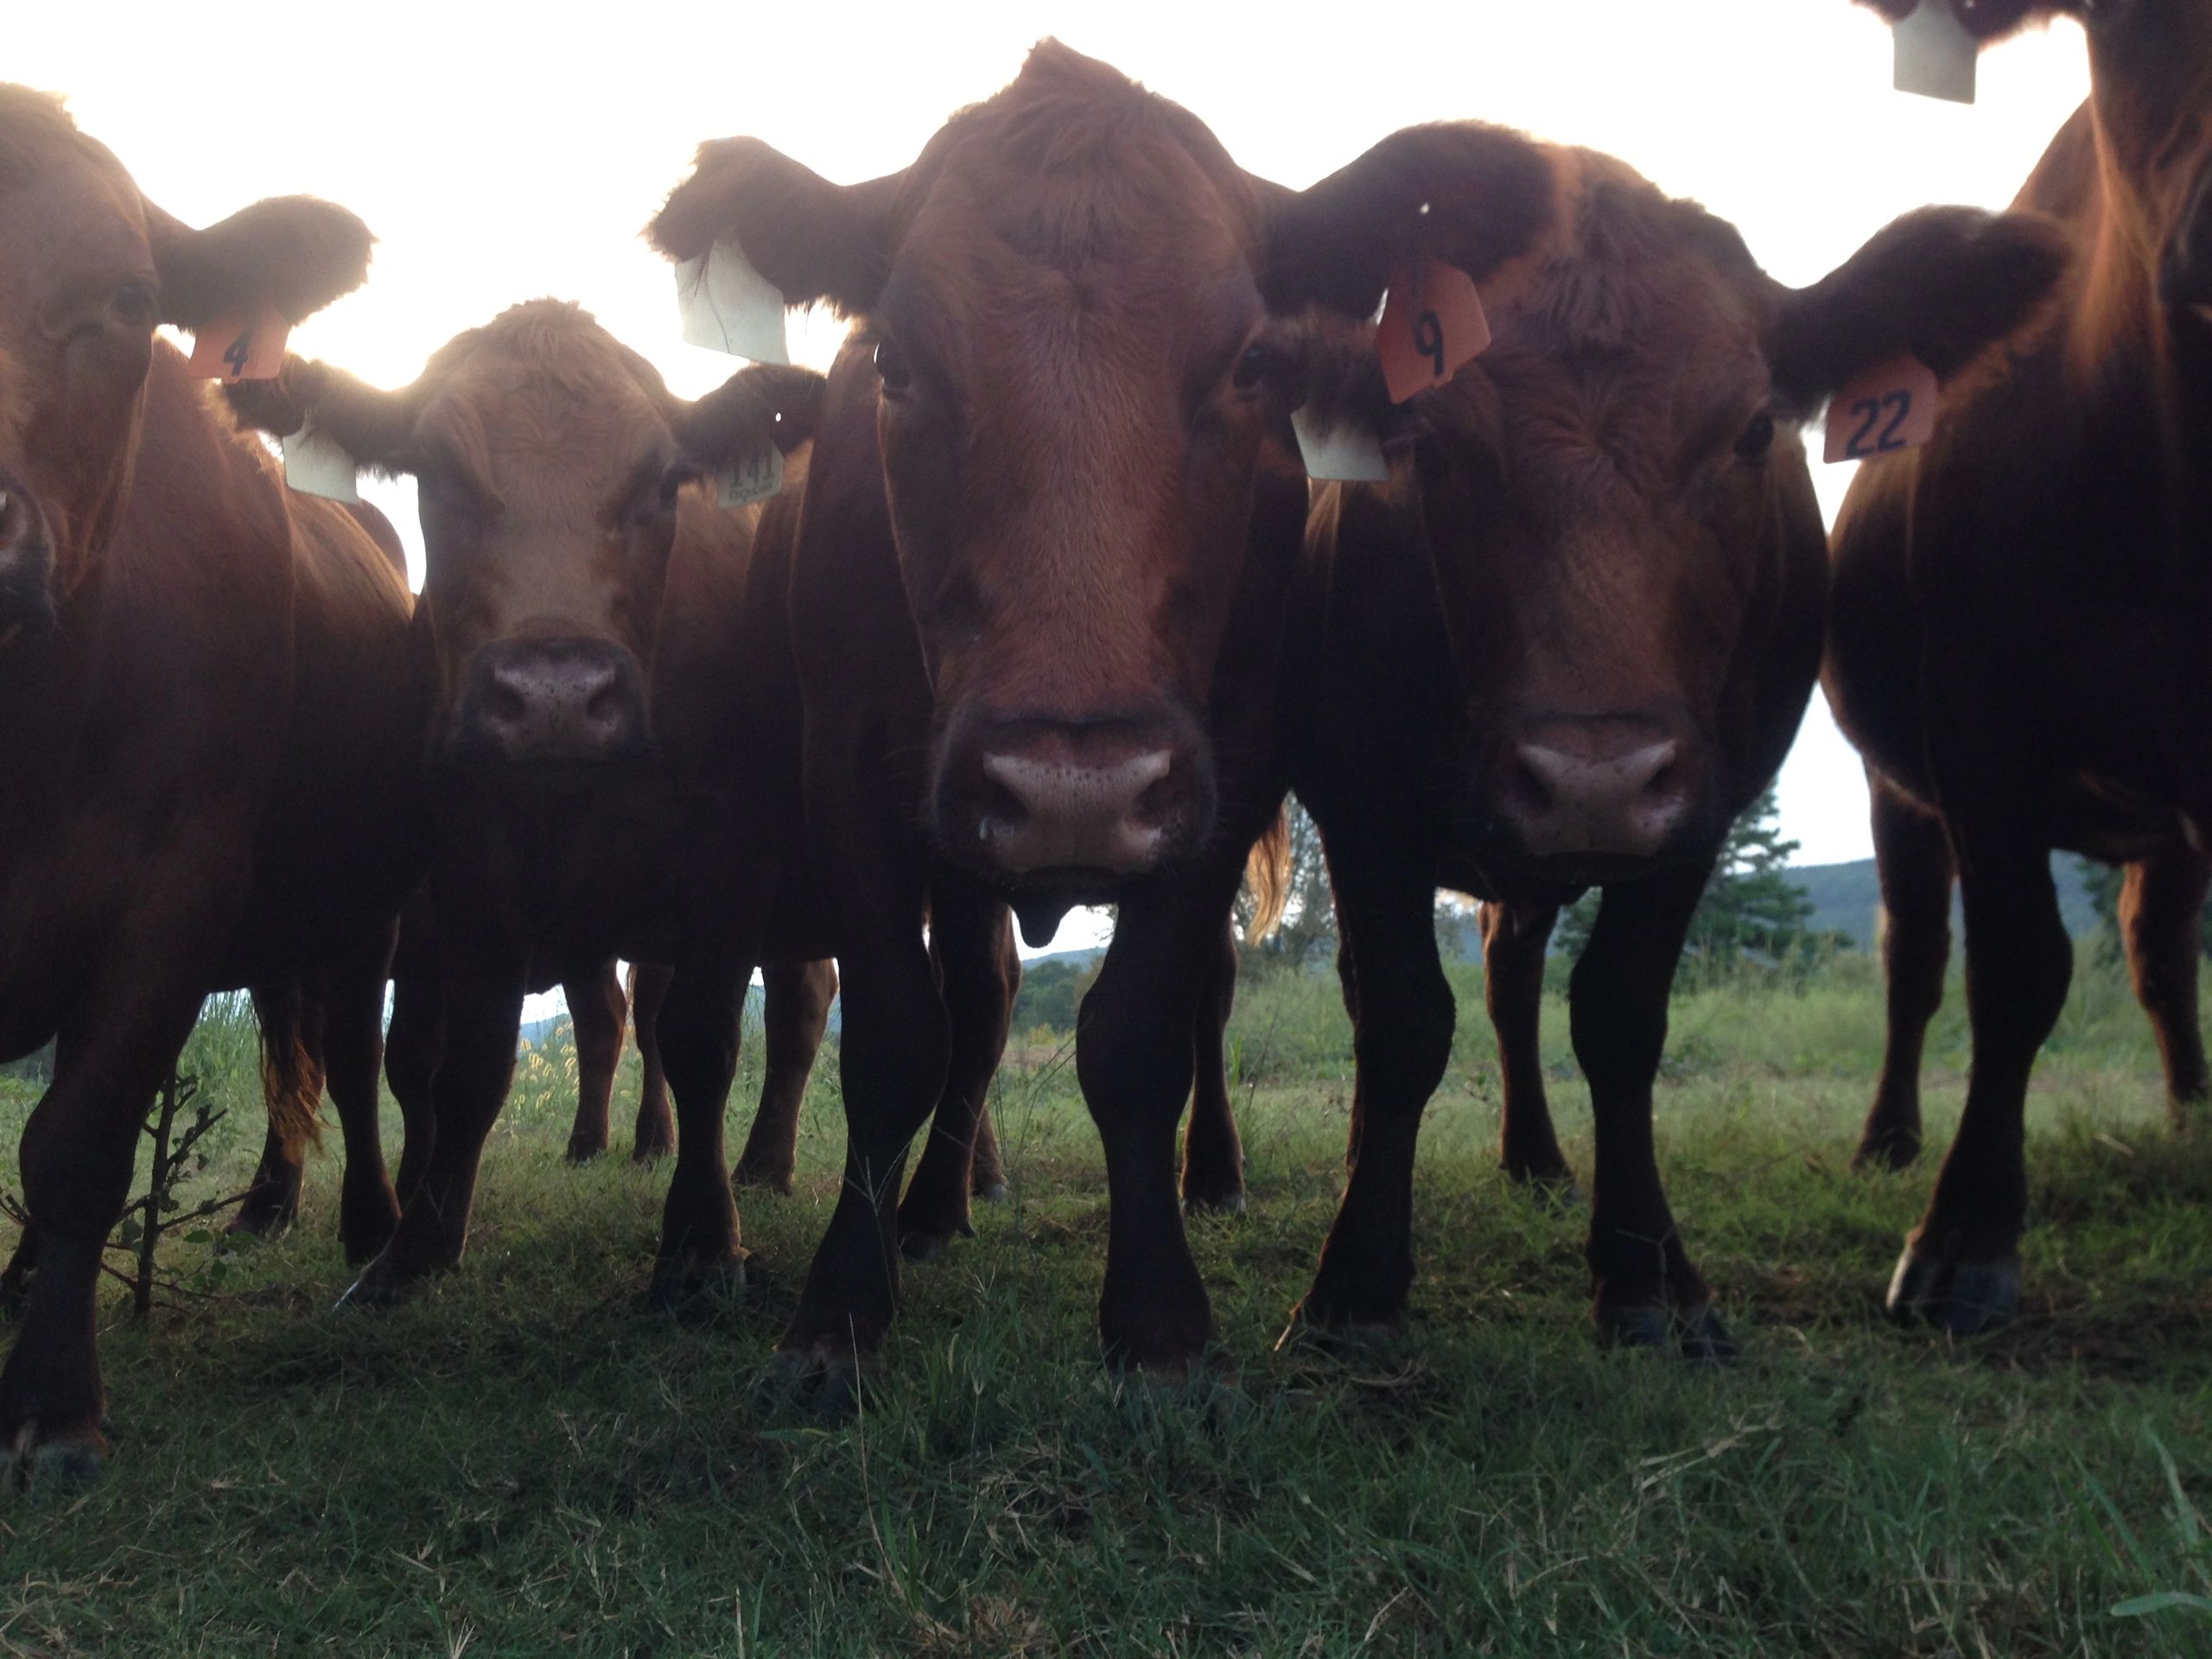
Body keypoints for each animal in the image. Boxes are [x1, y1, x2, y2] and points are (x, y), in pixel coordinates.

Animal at [0, 87, 420, 1477]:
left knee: (345, 1047)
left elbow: (80, 1141)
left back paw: (363, 1225)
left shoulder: (176, 884)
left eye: (131, 298)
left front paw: (53, 1409)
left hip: (360, 899)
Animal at [225, 303, 1013, 1315]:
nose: (555, 693)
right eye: (438, 476)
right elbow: (465, 1063)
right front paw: (416, 1246)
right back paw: (775, 1166)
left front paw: (700, 1244)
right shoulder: (463, 869)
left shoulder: (729, 852)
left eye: (663, 482)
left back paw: (942, 1199)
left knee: (975, 1007)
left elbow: (701, 1039)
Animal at [648, 40, 1576, 1382]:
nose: (1069, 790)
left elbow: (1137, 1034)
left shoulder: (1223, 759)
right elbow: (895, 1040)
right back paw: (930, 1212)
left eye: (1254, 364)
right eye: (893, 364)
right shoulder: (854, 760)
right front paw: (840, 1310)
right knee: (975, 1007)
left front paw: (1158, 1321)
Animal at [1261, 158, 2066, 1355]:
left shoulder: (1699, 809)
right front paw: (1356, 1283)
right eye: (1432, 443)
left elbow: (1620, 1017)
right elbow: (1403, 1021)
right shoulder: (1362, 808)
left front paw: (1646, 1275)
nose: (1591, 779)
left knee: (1510, 976)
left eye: (1752, 433)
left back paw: (1536, 1160)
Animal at [1827, 0, 2212, 1333]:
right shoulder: (1976, 717)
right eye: (2143, 18)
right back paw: (1887, 1138)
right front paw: (1962, 1237)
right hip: (1896, 787)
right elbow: (2014, 965)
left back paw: (2191, 1119)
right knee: (1913, 958)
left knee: (2157, 947)